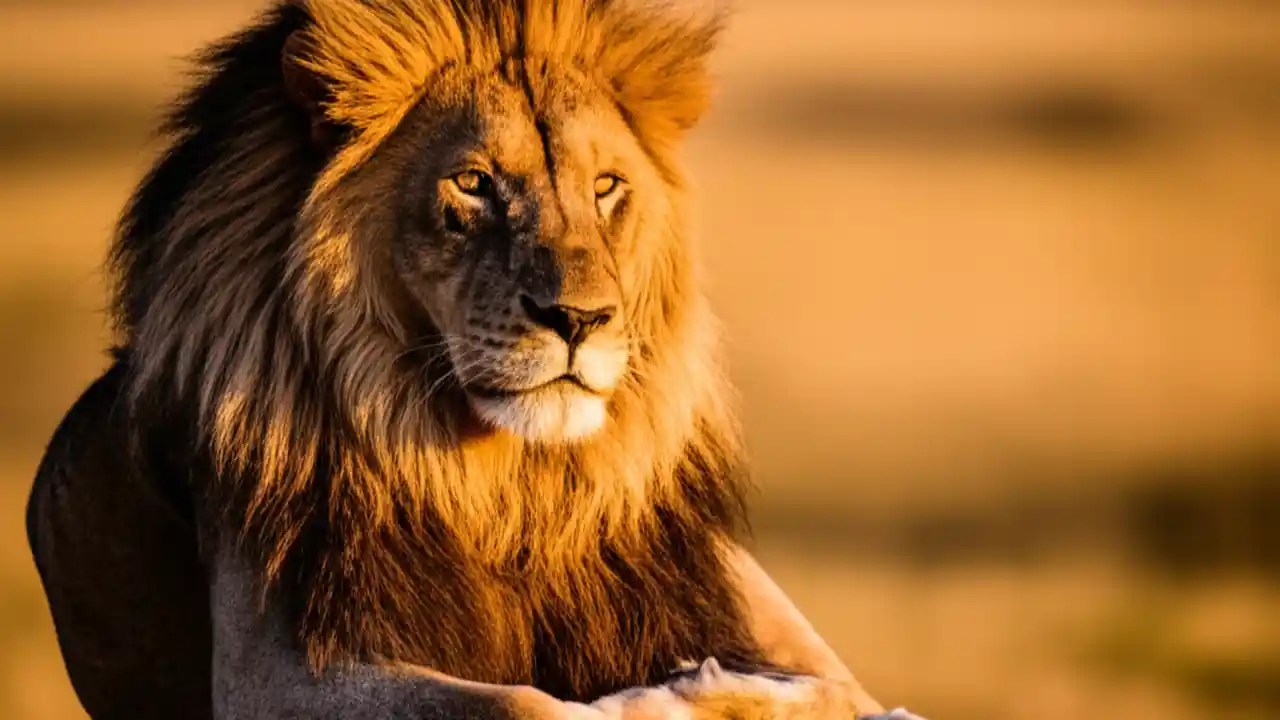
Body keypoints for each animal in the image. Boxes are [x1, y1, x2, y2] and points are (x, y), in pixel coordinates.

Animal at [26, 1, 919, 718]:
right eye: (474, 183)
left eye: (605, 187)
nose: (581, 318)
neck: (506, 493)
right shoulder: (271, 675)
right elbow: (519, 703)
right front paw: (665, 699)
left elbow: (834, 690)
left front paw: (708, 688)